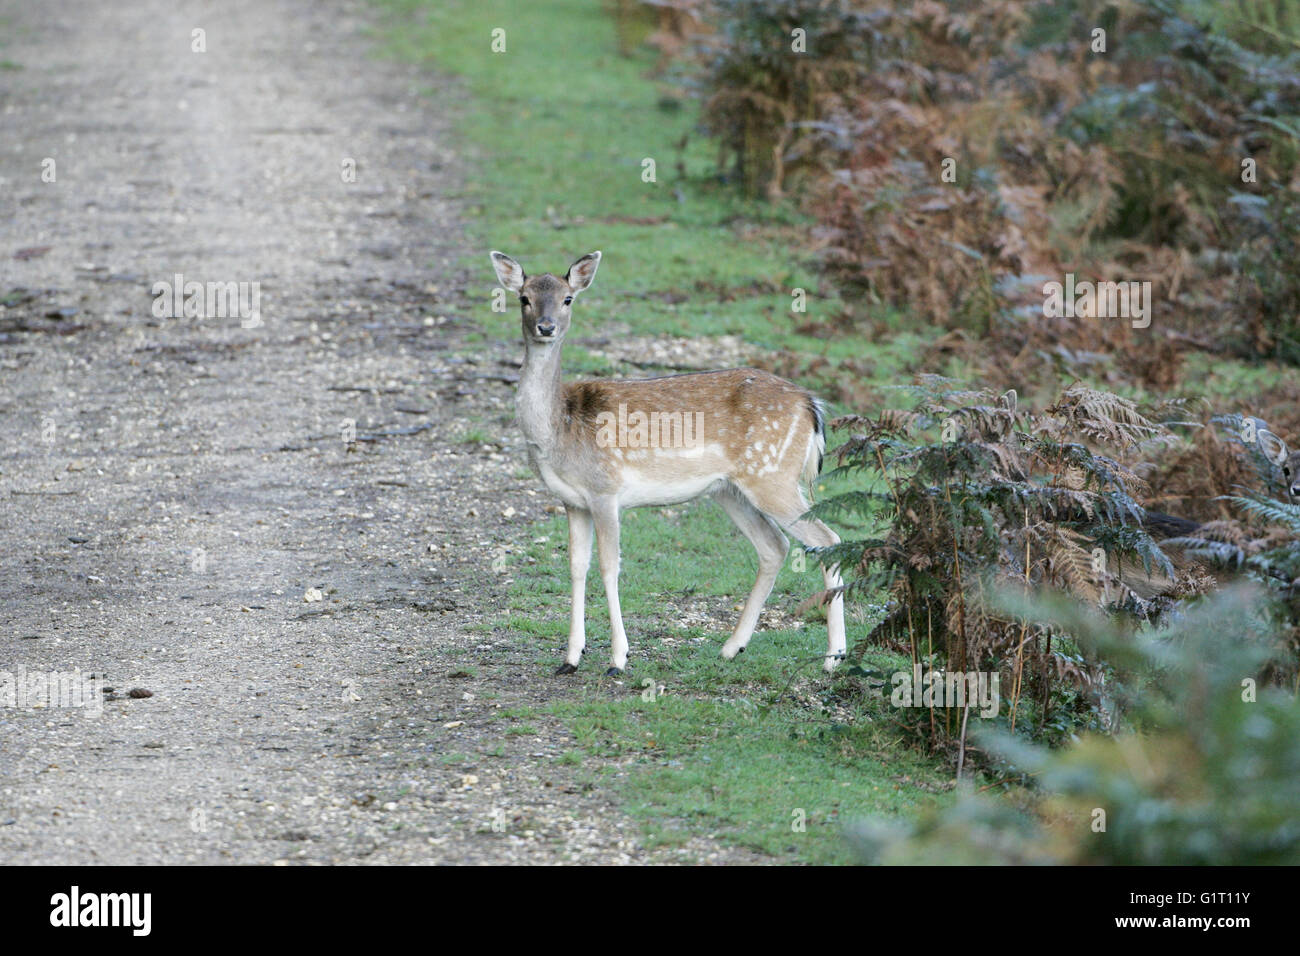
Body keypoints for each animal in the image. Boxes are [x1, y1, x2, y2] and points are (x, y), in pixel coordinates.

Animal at [491, 250, 847, 676]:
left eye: (568, 299)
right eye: (524, 298)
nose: (546, 327)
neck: (559, 430)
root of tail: (812, 406)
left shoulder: (605, 490)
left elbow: (610, 568)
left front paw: (618, 659)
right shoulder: (572, 500)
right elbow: (576, 567)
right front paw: (570, 658)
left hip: (772, 476)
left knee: (828, 540)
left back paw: (833, 658)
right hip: (731, 489)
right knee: (775, 546)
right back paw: (731, 648)